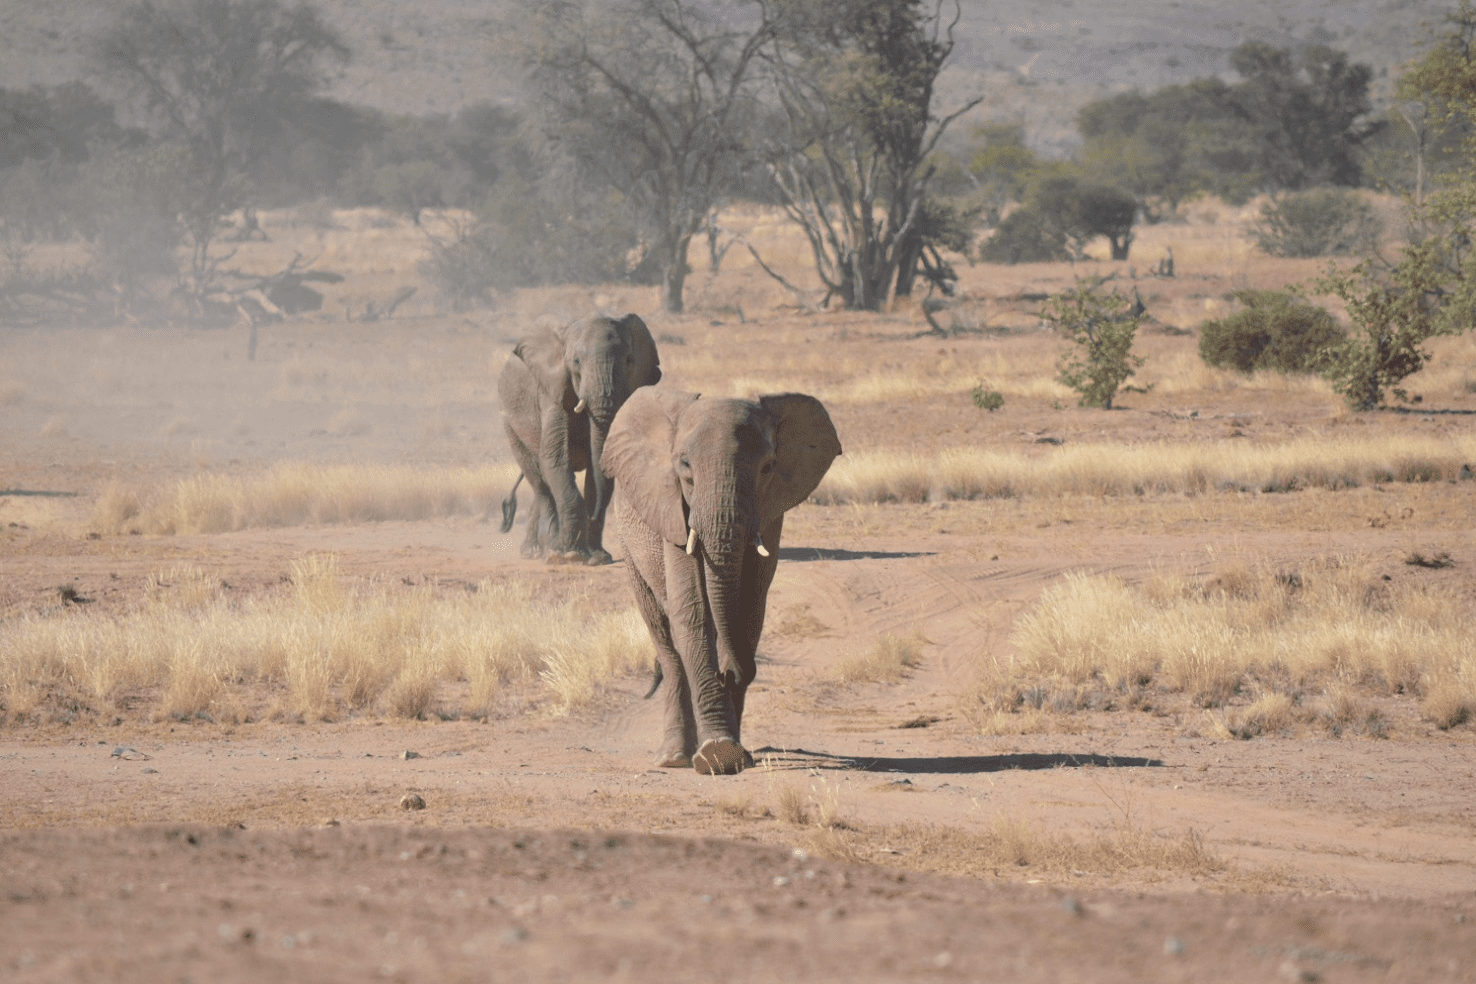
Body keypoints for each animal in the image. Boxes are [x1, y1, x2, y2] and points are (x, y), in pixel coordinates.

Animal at [498, 313, 661, 564]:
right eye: (575, 362)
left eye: (629, 360)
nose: (593, 517)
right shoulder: (552, 392)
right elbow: (555, 459)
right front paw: (569, 556)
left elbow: (597, 471)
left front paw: (598, 558)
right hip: (510, 424)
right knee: (539, 483)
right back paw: (541, 551)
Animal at [602, 387, 842, 775]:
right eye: (684, 467)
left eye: (767, 467)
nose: (731, 677)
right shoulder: (673, 510)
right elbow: (693, 611)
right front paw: (718, 754)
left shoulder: (769, 515)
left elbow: (748, 611)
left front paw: (732, 754)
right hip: (628, 542)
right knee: (665, 638)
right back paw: (674, 758)